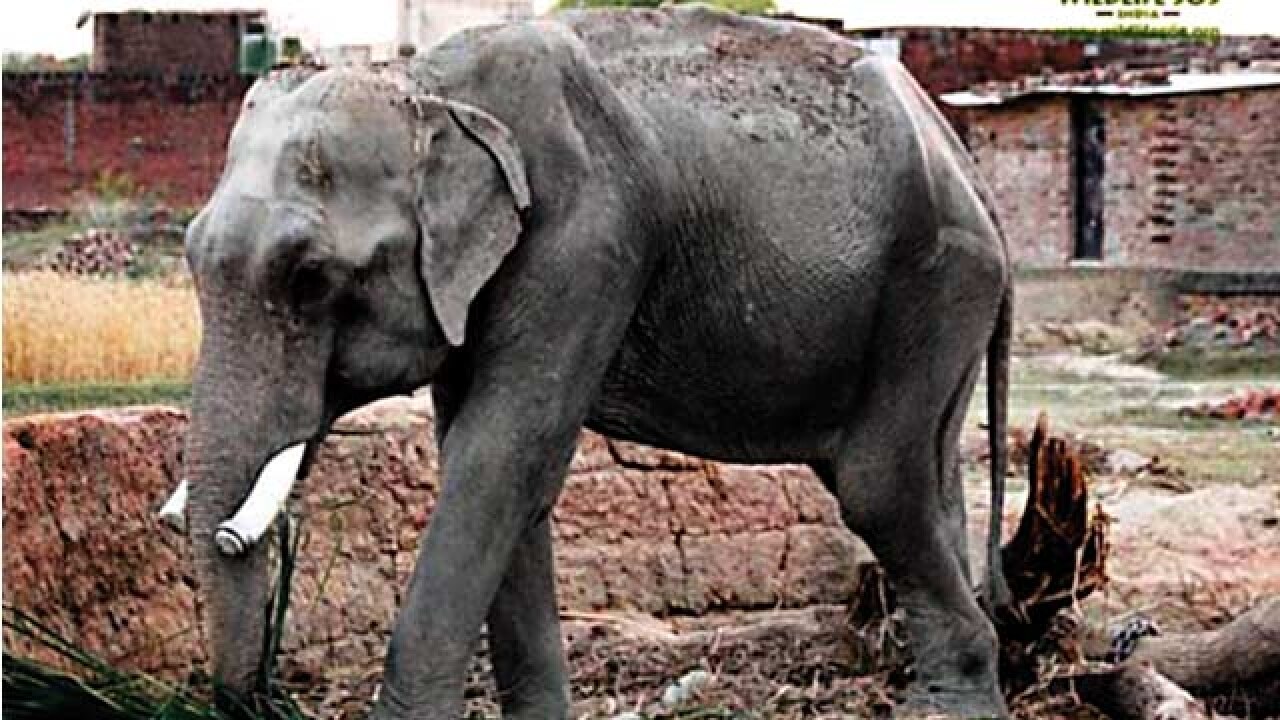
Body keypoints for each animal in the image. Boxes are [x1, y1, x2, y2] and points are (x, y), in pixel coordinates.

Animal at [178, 5, 1013, 719]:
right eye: (187, 252)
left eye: (308, 276)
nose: (262, 695)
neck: (429, 86)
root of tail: (965, 160)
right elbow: (497, 471)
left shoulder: (589, 237)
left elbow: (499, 457)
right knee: (924, 474)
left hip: (936, 279)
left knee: (877, 484)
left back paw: (952, 703)